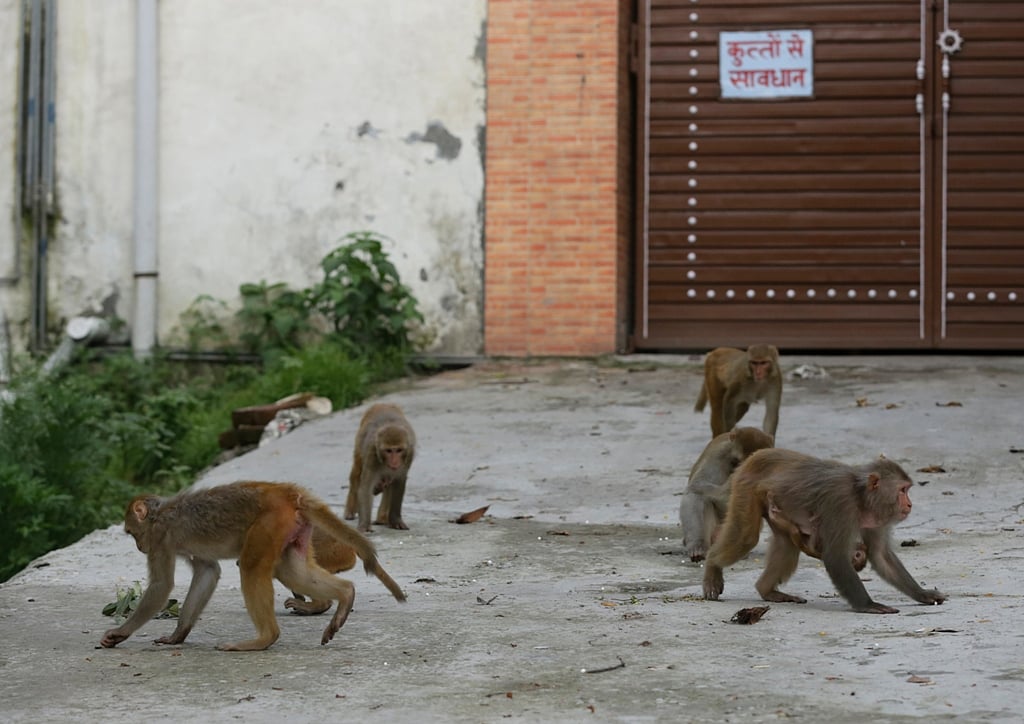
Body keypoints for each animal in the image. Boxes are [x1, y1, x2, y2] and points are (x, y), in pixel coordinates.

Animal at [100, 481, 406, 651]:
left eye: (131, 533)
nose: (139, 547)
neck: (159, 515)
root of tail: (285, 492)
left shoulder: (161, 539)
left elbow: (162, 586)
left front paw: (120, 633)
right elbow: (208, 572)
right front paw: (178, 635)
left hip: (269, 523)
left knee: (250, 567)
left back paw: (263, 639)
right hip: (288, 528)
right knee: (291, 570)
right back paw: (345, 594)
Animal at [344, 403, 415, 532]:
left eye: (399, 450)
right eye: (388, 451)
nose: (394, 461)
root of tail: (383, 404)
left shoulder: (409, 455)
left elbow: (398, 483)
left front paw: (395, 520)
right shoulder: (372, 453)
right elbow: (366, 488)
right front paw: (364, 524)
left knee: (389, 481)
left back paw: (382, 518)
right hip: (359, 441)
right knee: (356, 473)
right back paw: (350, 510)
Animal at [702, 449, 945, 613]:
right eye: (903, 490)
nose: (910, 504)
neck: (860, 496)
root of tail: (757, 455)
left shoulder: (876, 517)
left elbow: (880, 555)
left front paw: (923, 594)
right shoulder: (840, 504)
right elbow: (835, 556)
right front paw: (868, 605)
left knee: (786, 546)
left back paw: (768, 591)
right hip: (747, 489)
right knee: (746, 537)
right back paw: (712, 564)